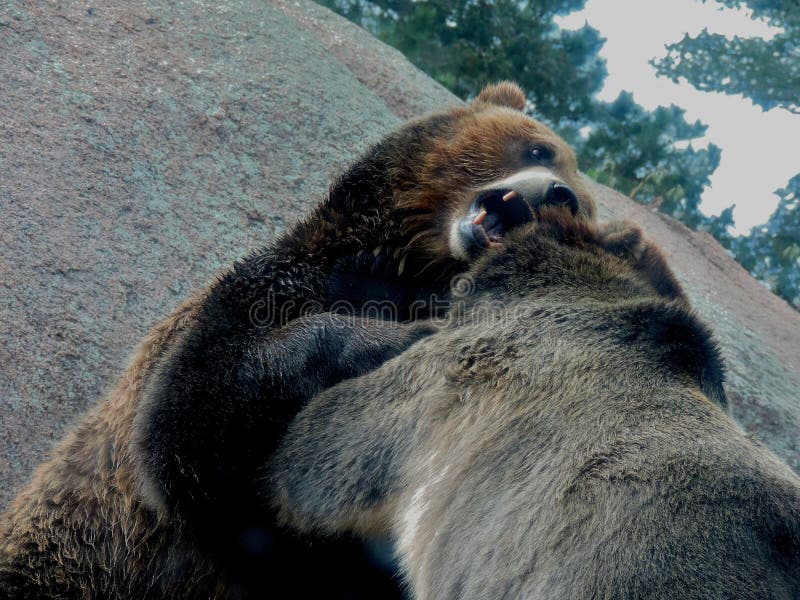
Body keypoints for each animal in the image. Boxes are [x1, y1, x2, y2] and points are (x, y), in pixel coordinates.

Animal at [0, 82, 596, 599]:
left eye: (582, 207)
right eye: (539, 146)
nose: (561, 192)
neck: (408, 266)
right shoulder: (266, 294)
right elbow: (193, 415)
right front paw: (399, 337)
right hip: (66, 561)